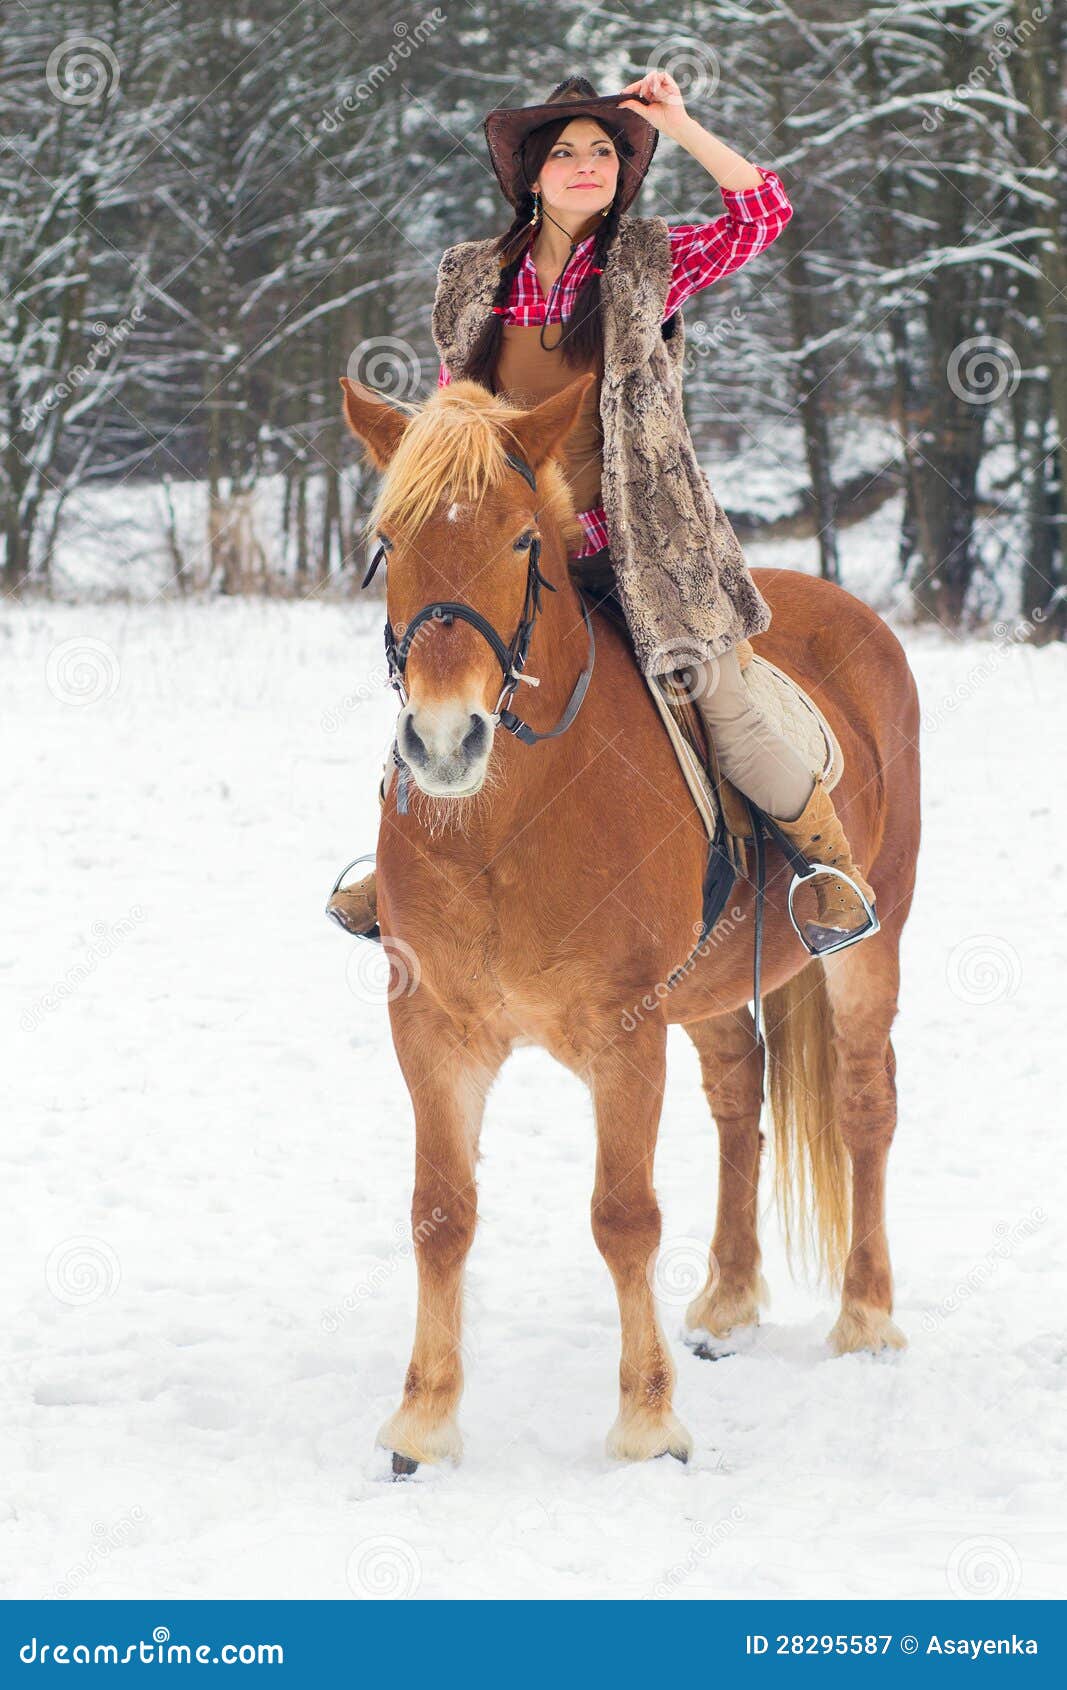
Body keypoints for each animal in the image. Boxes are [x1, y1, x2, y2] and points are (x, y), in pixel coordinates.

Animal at [338, 370, 921, 1472]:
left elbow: (623, 1217)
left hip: (870, 948)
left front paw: (648, 1423)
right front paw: (424, 1423)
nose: (441, 742)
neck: (506, 826)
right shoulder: (431, 1030)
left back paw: (866, 1316)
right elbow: (439, 1214)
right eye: (387, 540)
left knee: (866, 1106)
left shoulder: (622, 1034)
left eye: (522, 541)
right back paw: (727, 1303)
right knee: (740, 1098)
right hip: (710, 990)